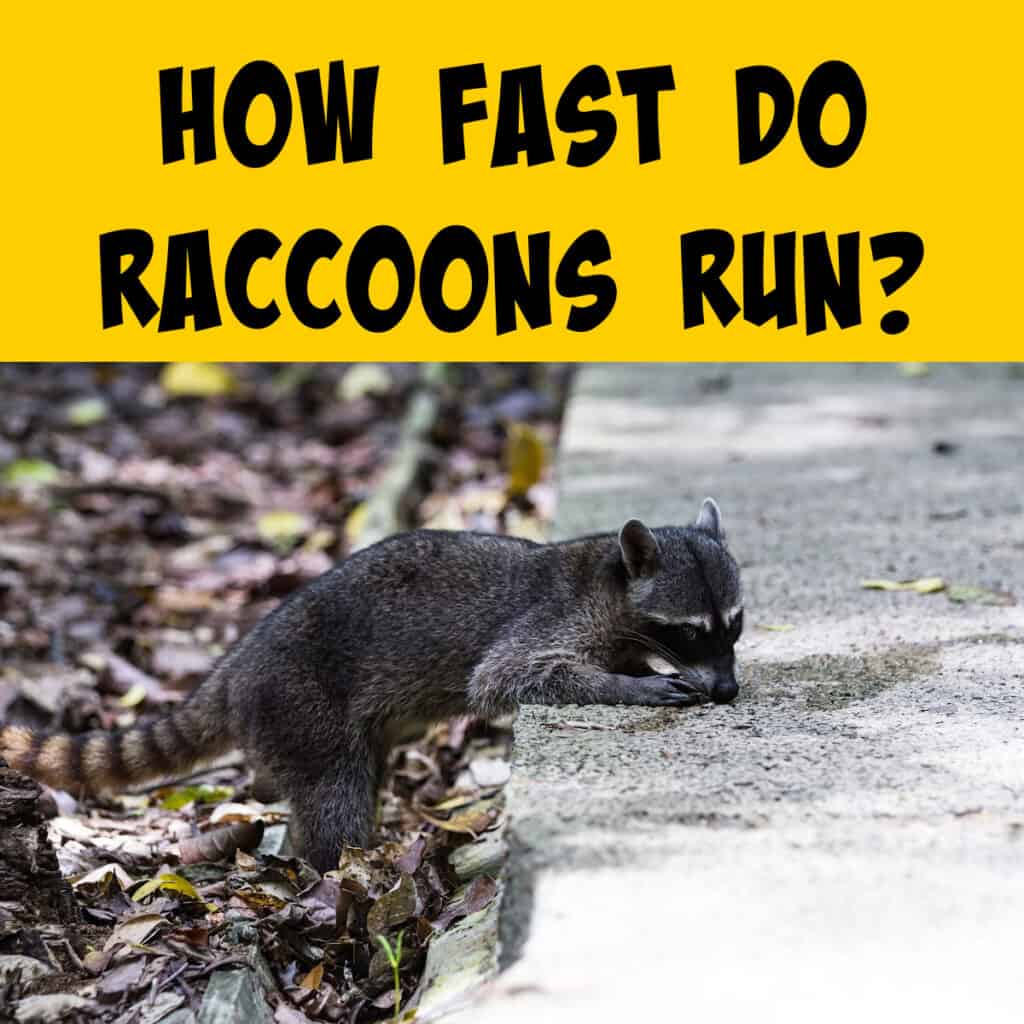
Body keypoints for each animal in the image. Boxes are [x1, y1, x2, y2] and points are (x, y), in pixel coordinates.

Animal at [1, 498, 743, 871]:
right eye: (691, 631)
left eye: (733, 623)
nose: (729, 692)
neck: (614, 583)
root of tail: (237, 664)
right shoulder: (553, 618)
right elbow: (504, 677)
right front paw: (631, 683)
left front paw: (640, 671)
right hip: (297, 706)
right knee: (336, 797)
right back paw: (337, 865)